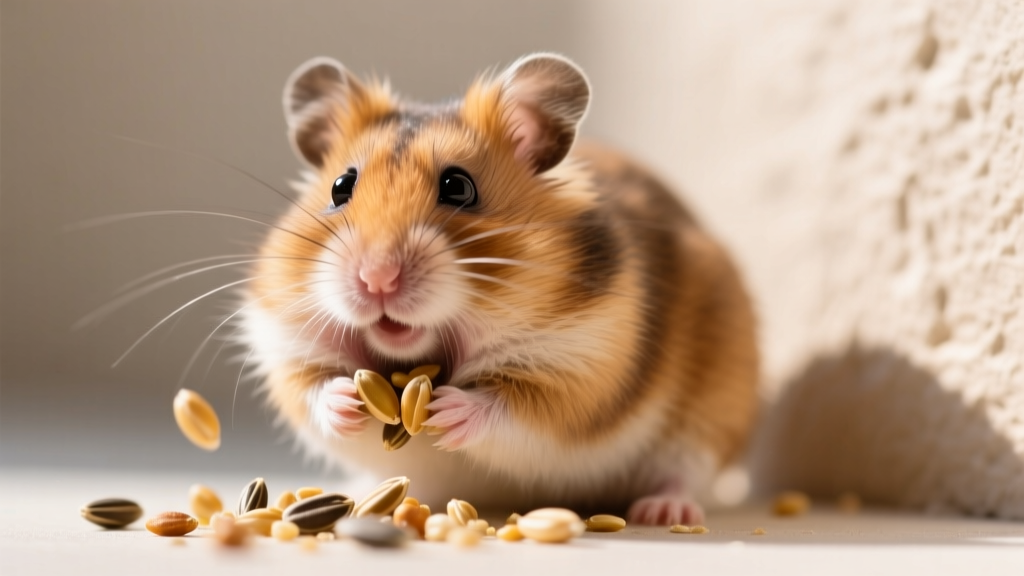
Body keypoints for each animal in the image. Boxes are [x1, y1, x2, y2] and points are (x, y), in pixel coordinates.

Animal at [241, 53, 758, 525]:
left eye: (459, 187)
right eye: (340, 187)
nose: (377, 278)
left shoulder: (580, 365)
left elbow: (514, 410)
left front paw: (444, 408)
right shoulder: (285, 346)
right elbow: (311, 391)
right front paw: (348, 399)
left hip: (714, 409)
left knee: (685, 471)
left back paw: (662, 511)